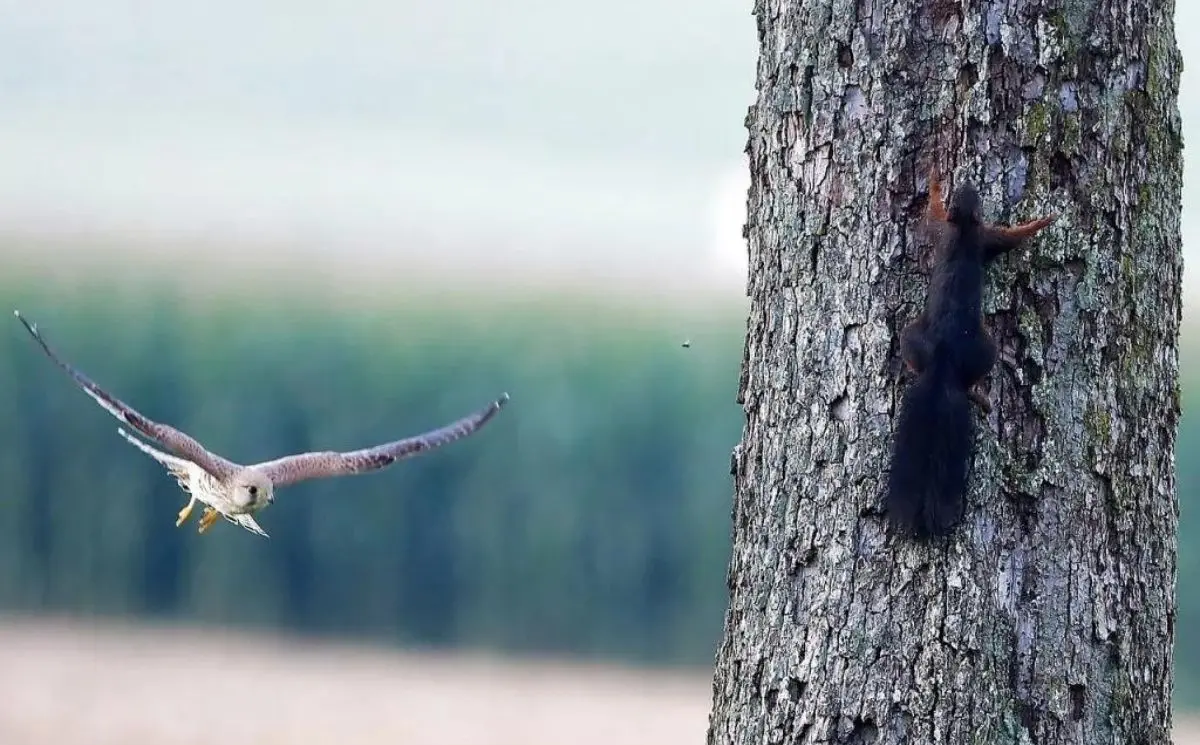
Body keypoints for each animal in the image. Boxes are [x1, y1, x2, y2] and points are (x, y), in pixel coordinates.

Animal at [886, 169, 1055, 540]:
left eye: (969, 196)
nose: (965, 183)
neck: (963, 228)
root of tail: (943, 362)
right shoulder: (983, 237)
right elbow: (1009, 237)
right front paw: (1040, 223)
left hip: (913, 337)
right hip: (984, 350)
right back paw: (980, 395)